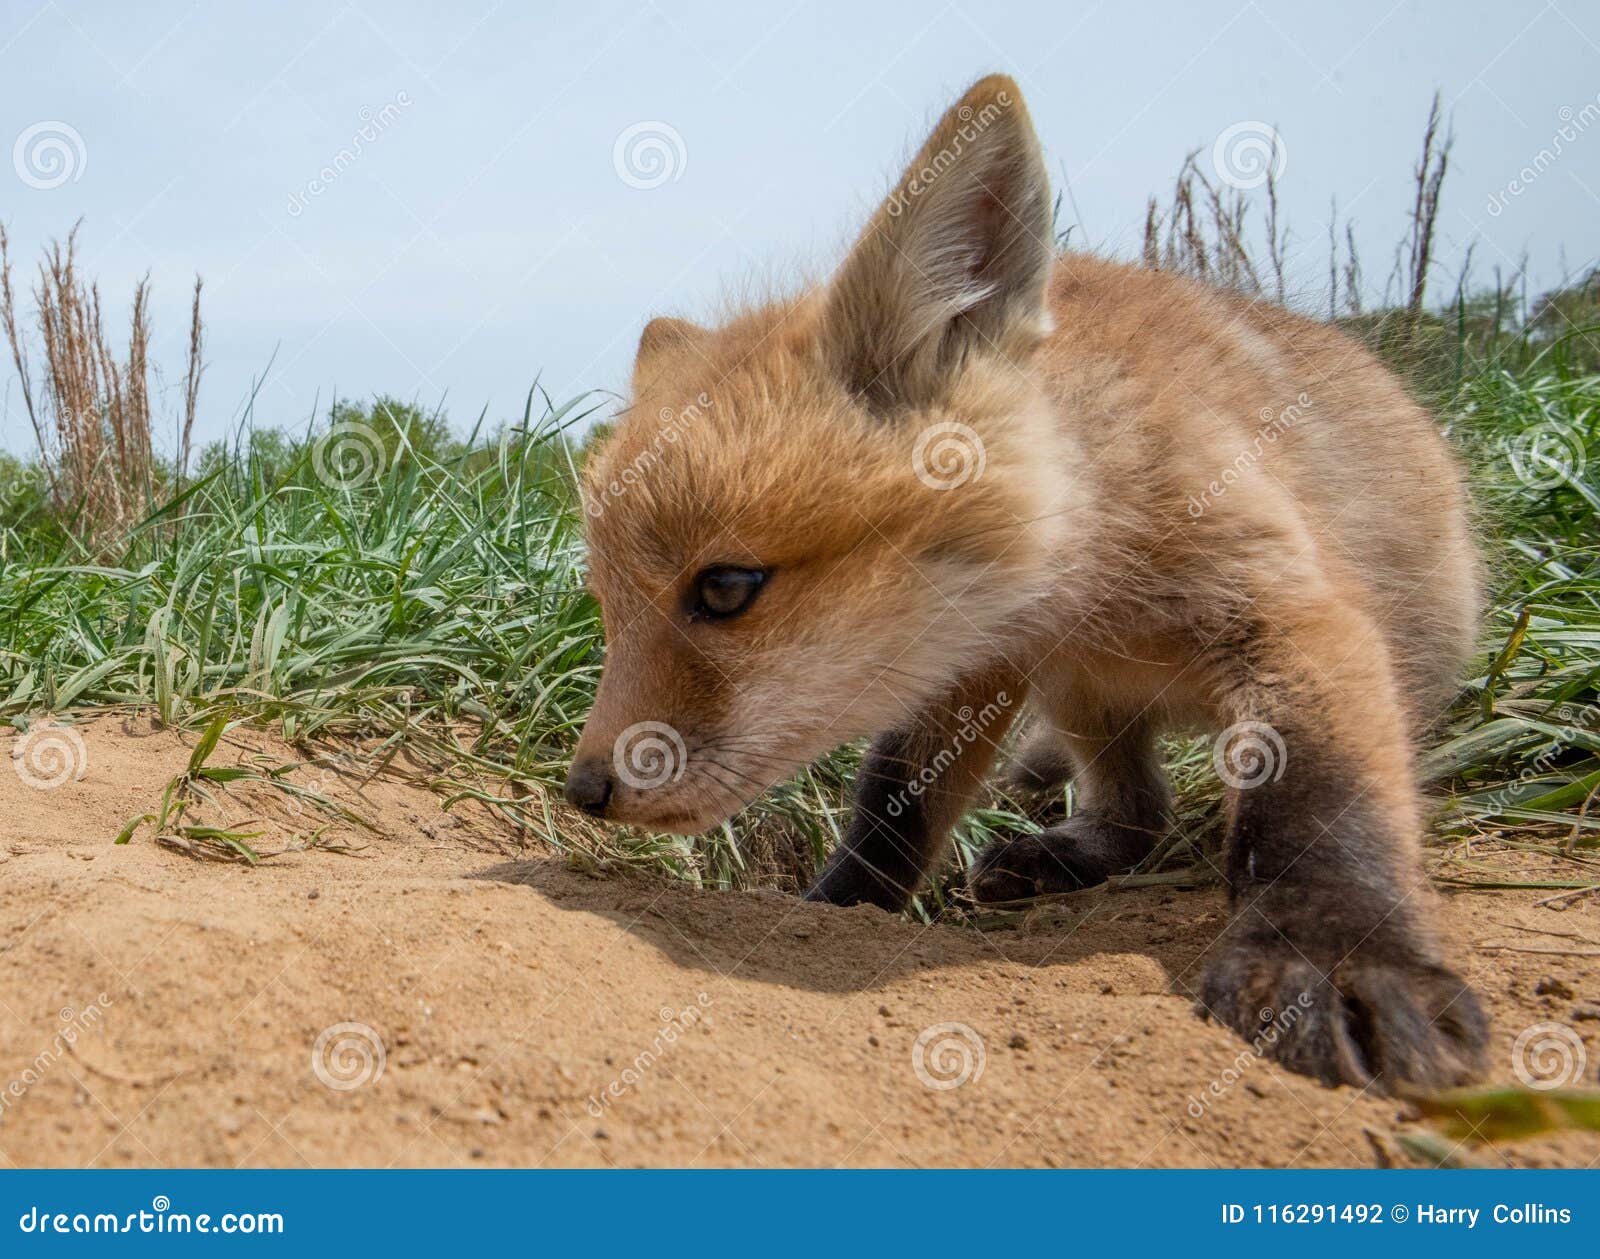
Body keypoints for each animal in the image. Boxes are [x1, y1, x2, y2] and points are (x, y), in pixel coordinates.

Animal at [566, 74, 1489, 1093]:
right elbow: (894, 806)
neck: (1081, 581)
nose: (583, 789)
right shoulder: (976, 662)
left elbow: (1326, 797)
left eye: (727, 587)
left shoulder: (1284, 605)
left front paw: (1339, 953)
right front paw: (833, 903)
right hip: (1083, 699)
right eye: (608, 607)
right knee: (1138, 812)